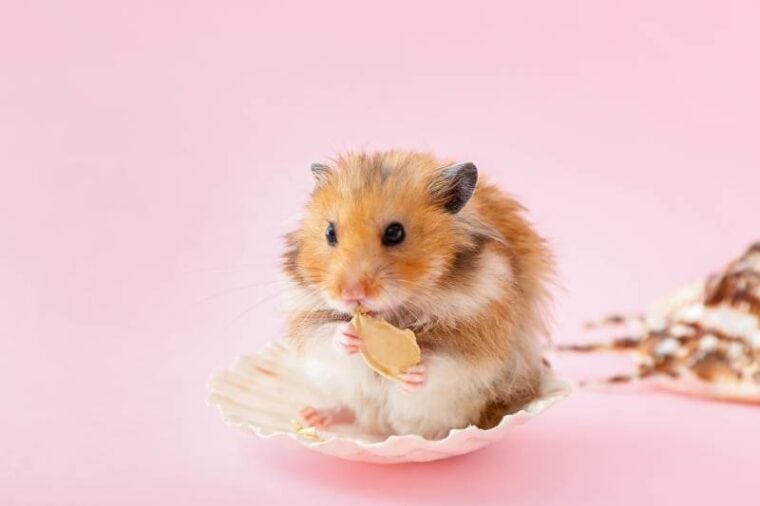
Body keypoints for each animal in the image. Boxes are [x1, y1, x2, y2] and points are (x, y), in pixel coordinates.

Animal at [281, 150, 554, 440]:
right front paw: (349, 335)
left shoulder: (478, 337)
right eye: (330, 232)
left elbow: (443, 367)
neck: (389, 316)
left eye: (395, 233)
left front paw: (414, 373)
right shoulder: (306, 319)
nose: (351, 294)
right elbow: (325, 336)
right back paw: (311, 415)